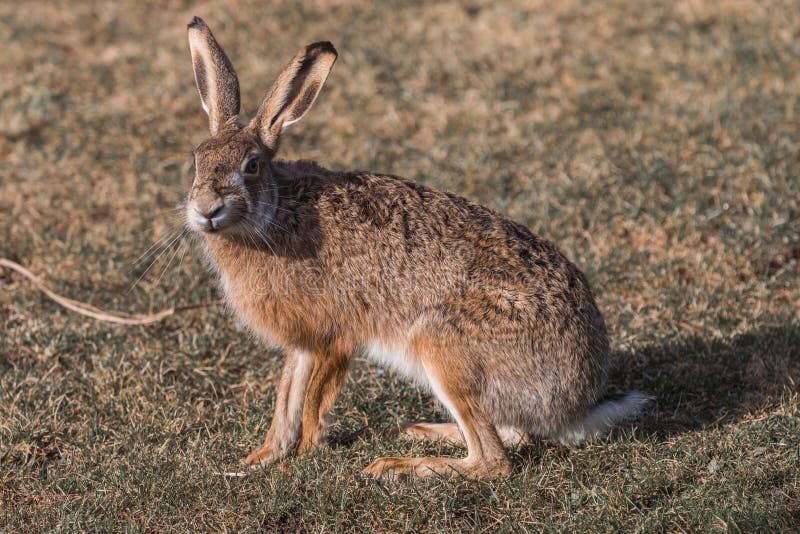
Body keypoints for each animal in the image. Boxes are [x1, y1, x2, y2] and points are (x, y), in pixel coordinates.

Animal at [184, 16, 649, 479]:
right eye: (196, 160)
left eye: (251, 166)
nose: (206, 210)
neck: (277, 211)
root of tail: (577, 402)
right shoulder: (303, 343)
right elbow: (287, 398)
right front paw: (262, 457)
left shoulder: (332, 337)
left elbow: (313, 401)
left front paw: (304, 455)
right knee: (513, 436)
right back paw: (419, 430)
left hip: (445, 348)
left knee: (493, 461)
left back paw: (397, 464)